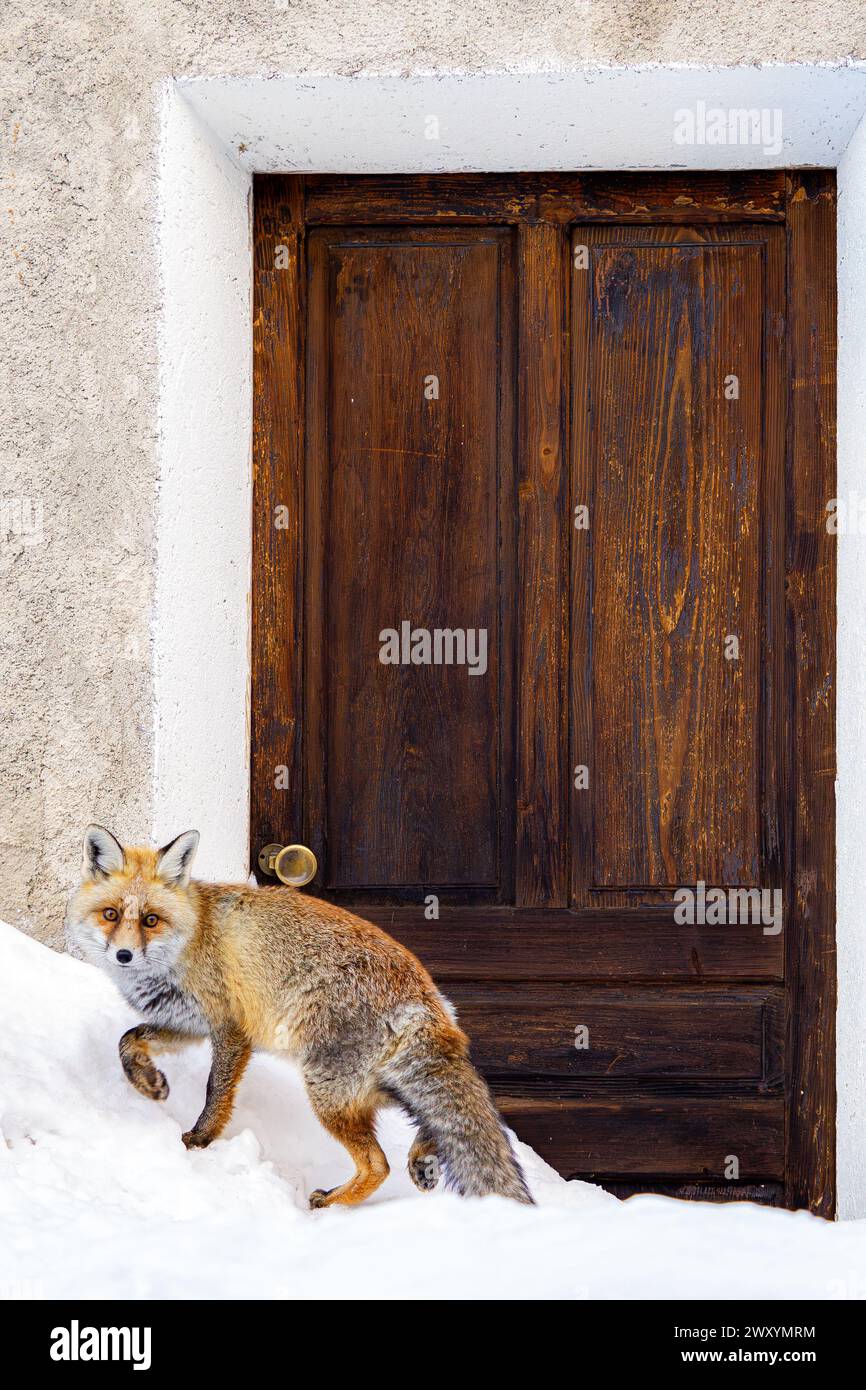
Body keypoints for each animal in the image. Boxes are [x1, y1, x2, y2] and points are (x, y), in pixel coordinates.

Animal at [65, 825, 533, 1209]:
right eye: (110, 914)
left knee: (379, 1163)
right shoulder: (188, 1024)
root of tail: (426, 996)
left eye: (150, 920)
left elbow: (215, 1092)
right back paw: (420, 1159)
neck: (192, 938)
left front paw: (199, 1140)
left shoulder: (230, 1030)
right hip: (368, 1086)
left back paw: (334, 1203)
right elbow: (128, 1038)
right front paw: (148, 1082)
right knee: (434, 1123)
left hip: (326, 1089)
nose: (124, 955)